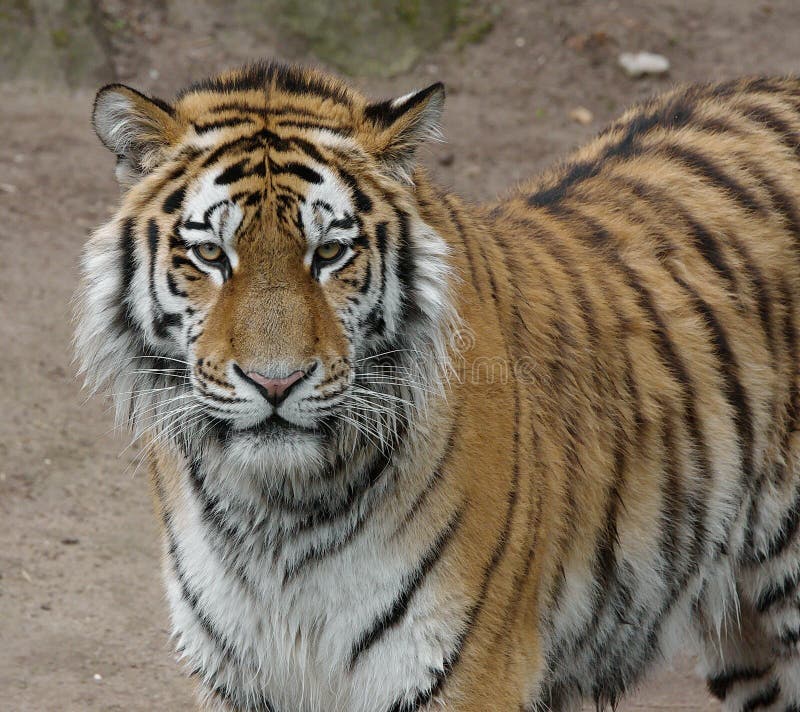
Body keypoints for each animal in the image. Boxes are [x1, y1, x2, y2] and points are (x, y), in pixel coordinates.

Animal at [73, 60, 800, 712]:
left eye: (329, 253)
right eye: (210, 255)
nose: (275, 382)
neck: (277, 515)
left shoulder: (464, 670)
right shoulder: (237, 675)